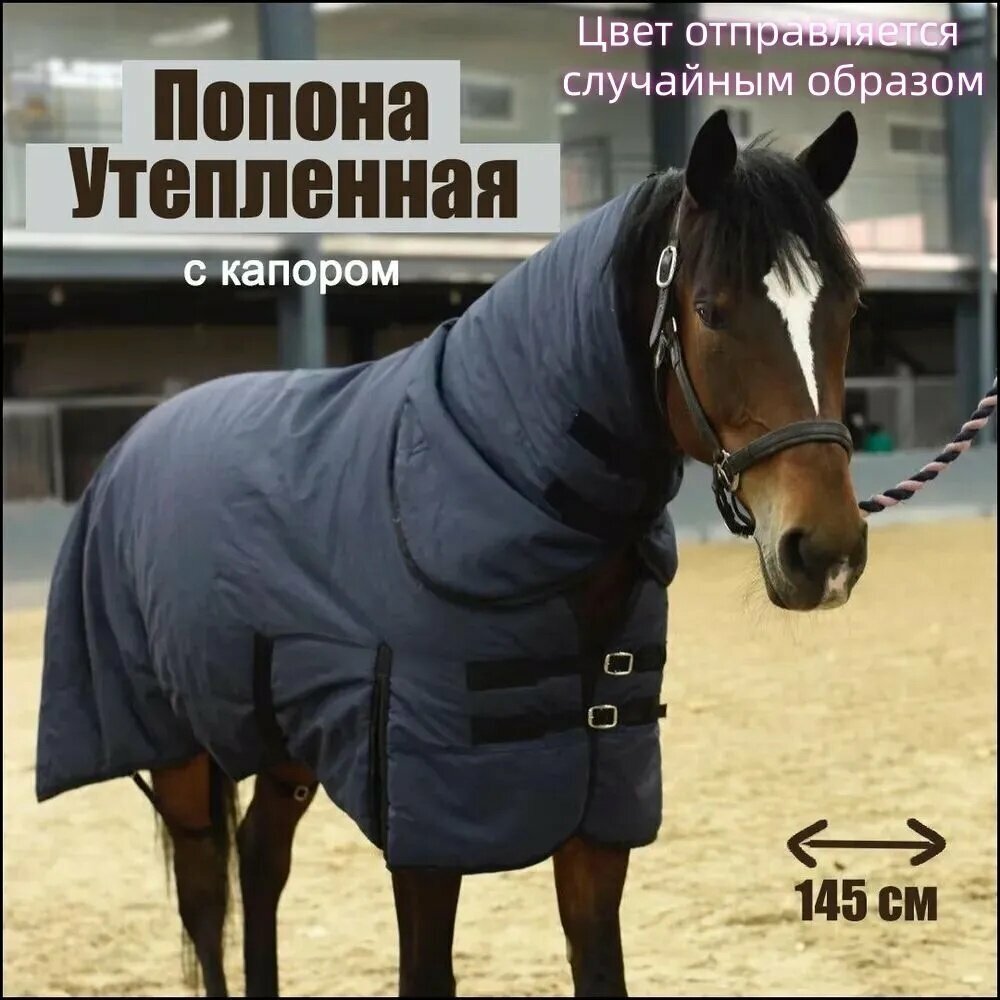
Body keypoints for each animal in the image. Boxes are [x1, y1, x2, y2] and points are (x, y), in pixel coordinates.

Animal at [35, 108, 868, 997]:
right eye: (710, 310)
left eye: (849, 308)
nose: (825, 550)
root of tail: (136, 442)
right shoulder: (429, 826)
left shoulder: (597, 811)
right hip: (179, 748)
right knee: (203, 897)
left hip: (284, 742)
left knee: (260, 861)